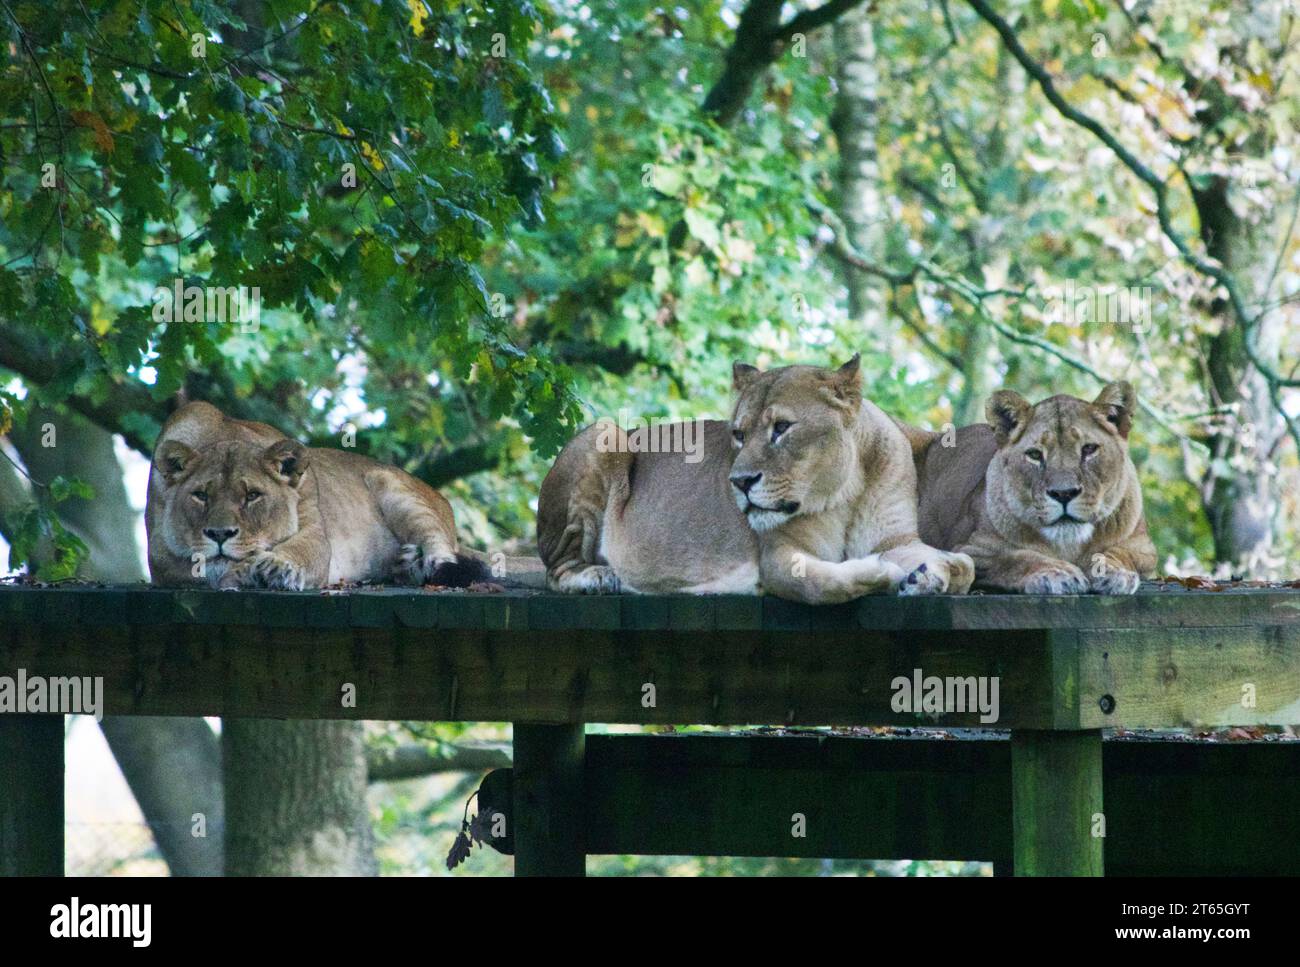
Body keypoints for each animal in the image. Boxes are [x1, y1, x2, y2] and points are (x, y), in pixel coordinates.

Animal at [145, 401, 530, 590]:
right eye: (200, 495)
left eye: (253, 495)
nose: (220, 534)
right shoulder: (159, 554)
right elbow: (202, 567)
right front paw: (241, 570)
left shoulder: (317, 534)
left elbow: (299, 551)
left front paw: (273, 566)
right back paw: (403, 564)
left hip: (395, 489)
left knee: (443, 554)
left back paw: (420, 566)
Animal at [537, 356, 975, 603]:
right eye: (739, 434)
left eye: (781, 428)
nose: (740, 482)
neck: (849, 492)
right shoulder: (779, 556)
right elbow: (825, 584)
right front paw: (885, 573)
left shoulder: (897, 540)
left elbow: (965, 567)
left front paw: (933, 573)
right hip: (603, 432)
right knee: (556, 569)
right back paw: (598, 577)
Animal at [912, 382, 1156, 595]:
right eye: (1035, 455)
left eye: (1089, 449)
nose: (1063, 493)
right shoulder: (971, 549)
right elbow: (1016, 558)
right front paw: (1057, 572)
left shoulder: (1143, 548)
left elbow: (1119, 552)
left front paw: (1113, 572)